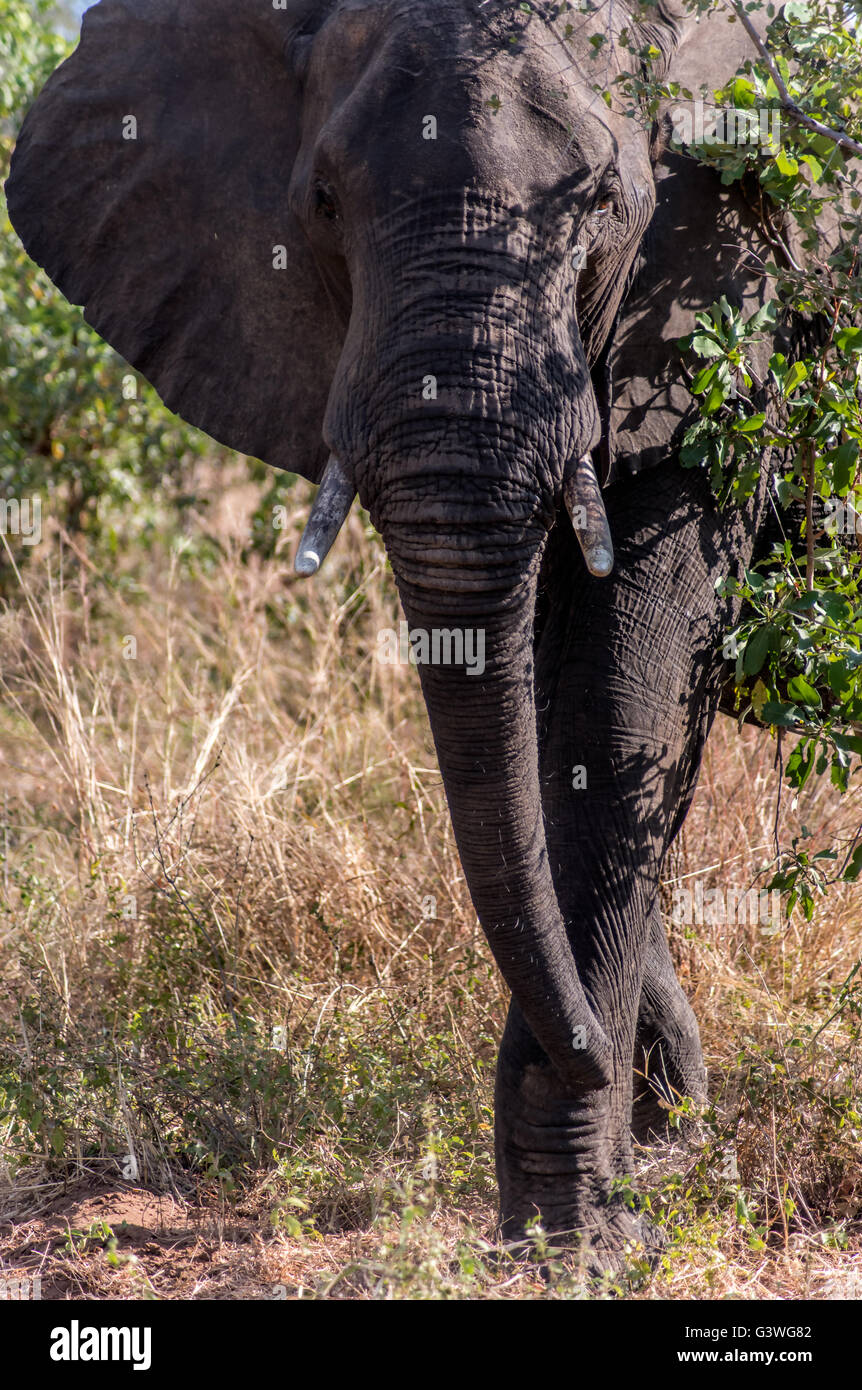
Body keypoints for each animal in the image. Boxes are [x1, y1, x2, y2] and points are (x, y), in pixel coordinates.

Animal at [5, 0, 818, 1269]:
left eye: (604, 200)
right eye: (322, 202)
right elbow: (542, 706)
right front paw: (607, 1190)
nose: (598, 1060)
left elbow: (625, 695)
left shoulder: (722, 292)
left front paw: (581, 1233)